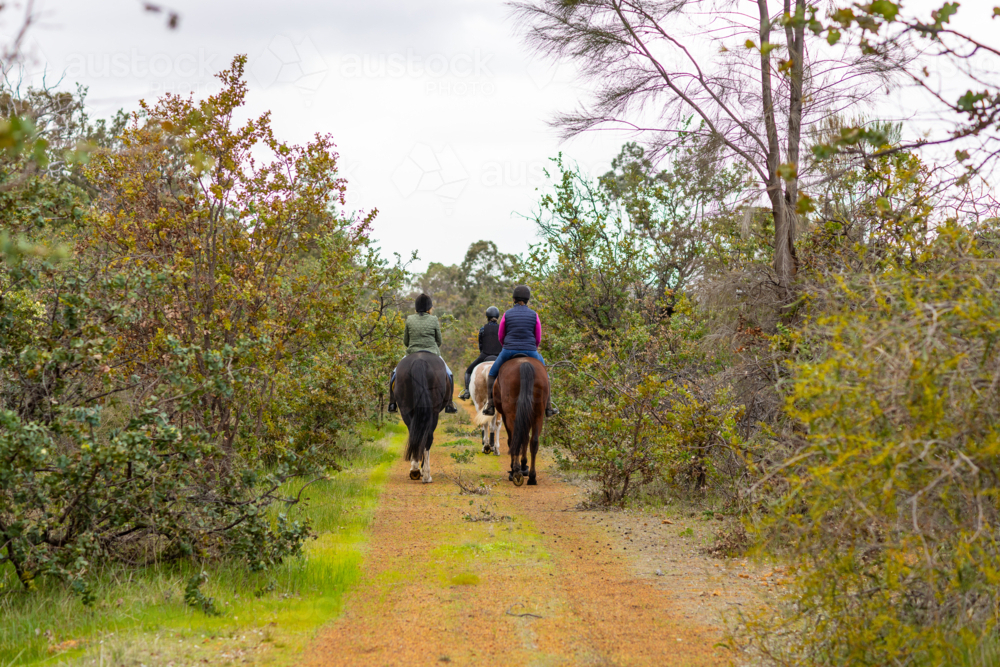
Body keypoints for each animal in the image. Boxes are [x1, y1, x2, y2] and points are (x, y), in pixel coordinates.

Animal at [393, 352, 453, 483]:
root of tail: (419, 361)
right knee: (427, 437)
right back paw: (426, 475)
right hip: (433, 412)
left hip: (405, 409)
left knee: (414, 435)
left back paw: (415, 470)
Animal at [493, 357, 549, 486]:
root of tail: (525, 364)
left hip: (511, 414)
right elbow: (526, 438)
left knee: (515, 440)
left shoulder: (506, 416)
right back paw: (532, 477)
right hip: (538, 415)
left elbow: (513, 440)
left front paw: (517, 467)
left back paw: (516, 471)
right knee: (534, 442)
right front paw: (524, 465)